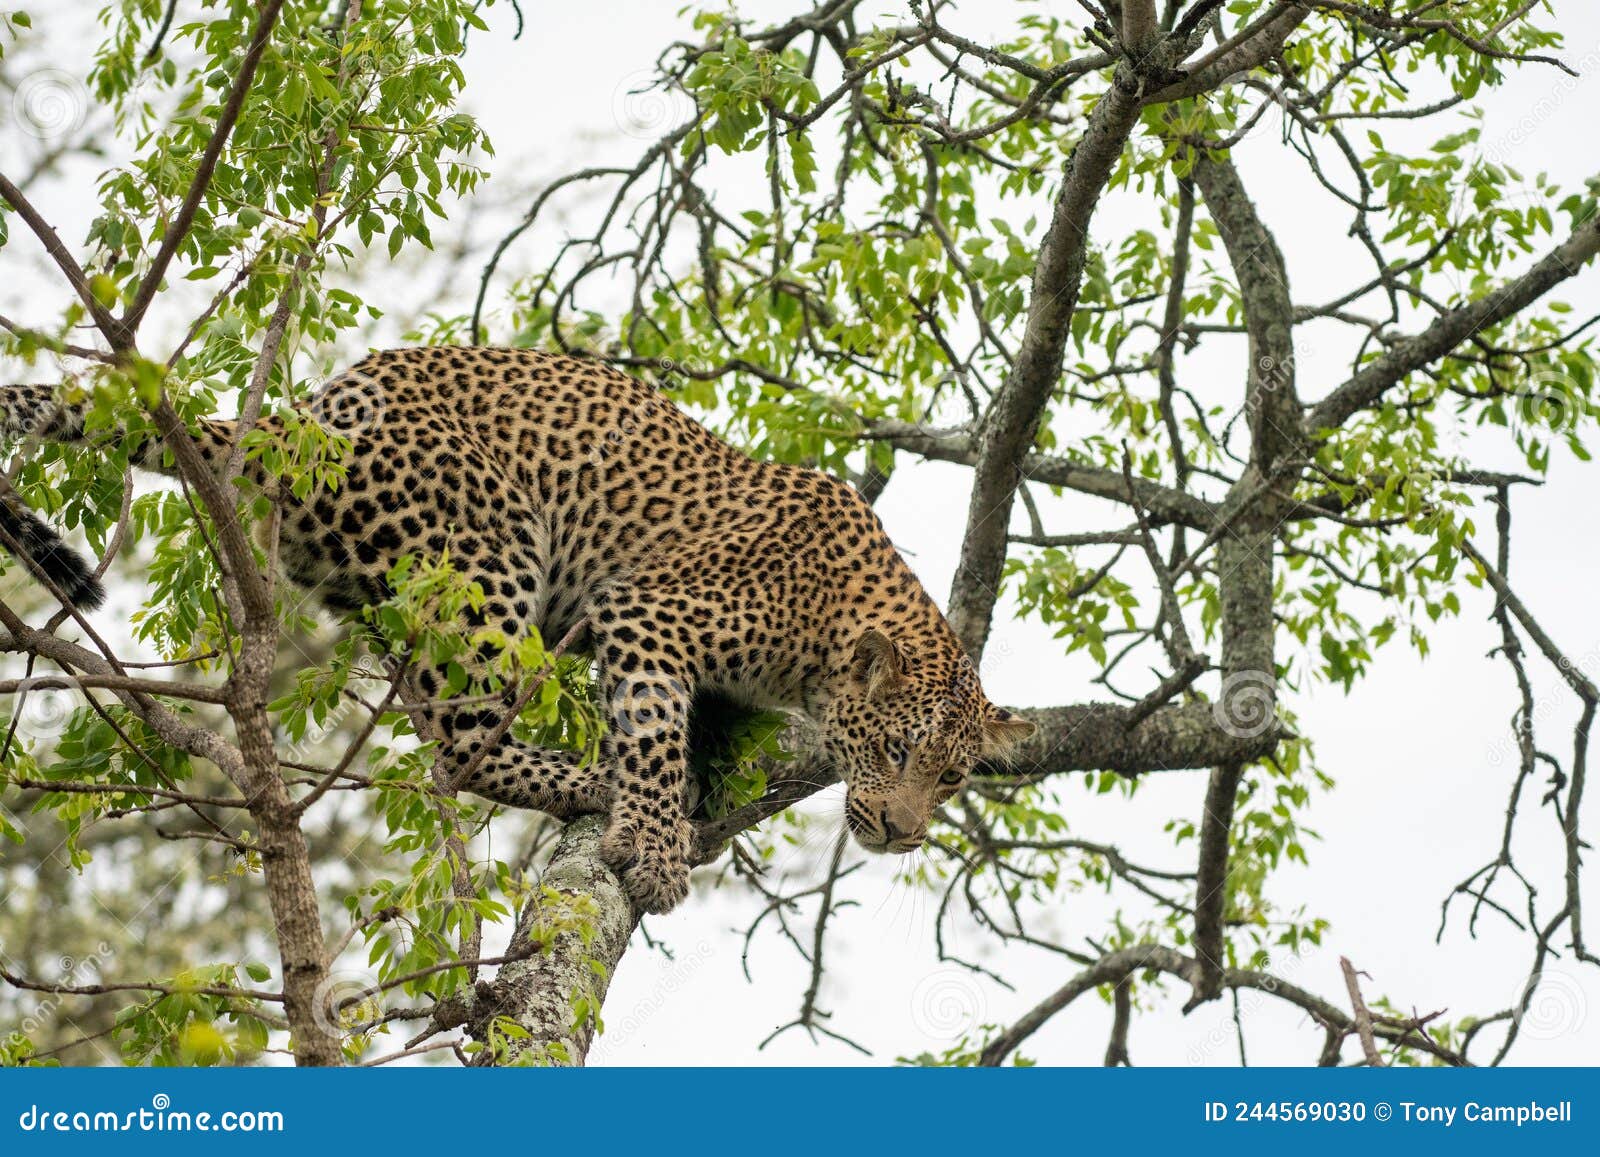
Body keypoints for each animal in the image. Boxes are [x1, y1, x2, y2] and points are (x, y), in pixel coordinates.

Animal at [1, 347, 1034, 913]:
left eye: (950, 778)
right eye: (895, 750)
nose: (902, 832)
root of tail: (301, 424)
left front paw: (701, 783)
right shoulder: (646, 610)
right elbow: (653, 739)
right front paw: (653, 842)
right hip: (488, 546)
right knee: (460, 744)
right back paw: (587, 781)